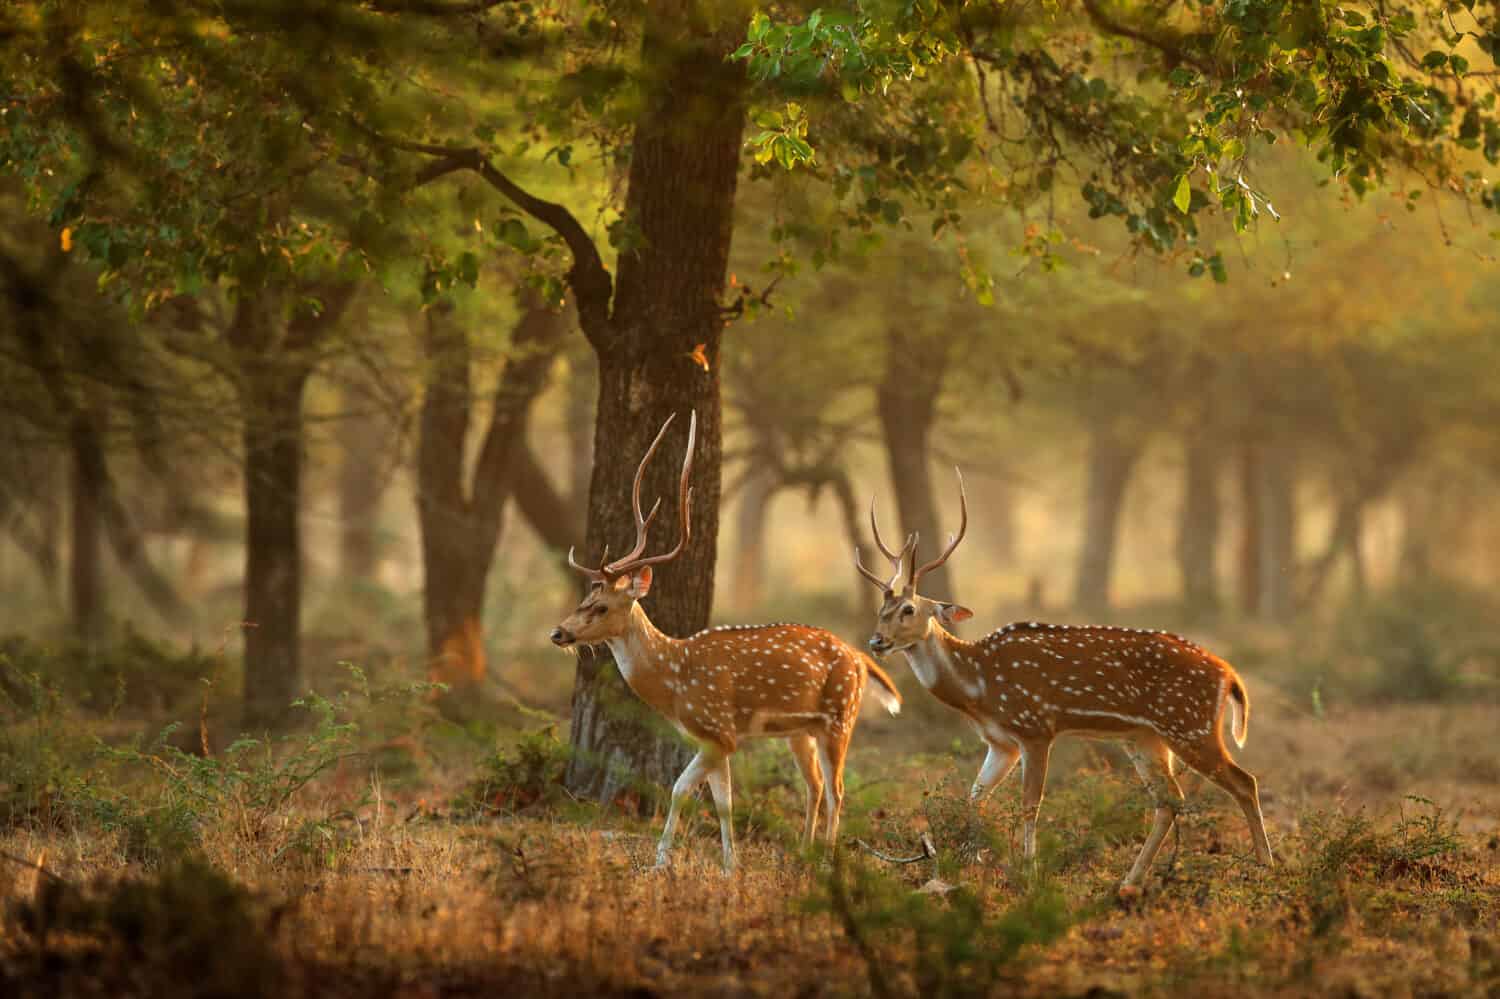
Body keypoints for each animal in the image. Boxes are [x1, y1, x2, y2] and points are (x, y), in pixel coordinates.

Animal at [550, 411, 902, 873]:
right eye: (585, 598)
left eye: (603, 606)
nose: (558, 632)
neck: (674, 681)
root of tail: (860, 656)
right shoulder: (712, 739)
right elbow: (723, 803)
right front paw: (729, 866)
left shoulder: (719, 730)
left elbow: (680, 789)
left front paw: (661, 862)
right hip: (801, 729)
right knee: (815, 786)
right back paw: (805, 852)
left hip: (840, 717)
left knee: (837, 788)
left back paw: (826, 859)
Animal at [855, 469, 1274, 894]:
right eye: (882, 608)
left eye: (909, 609)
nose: (876, 641)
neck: (979, 687)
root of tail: (1230, 675)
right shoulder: (1001, 742)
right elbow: (975, 796)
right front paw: (969, 865)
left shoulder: (1036, 727)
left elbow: (1030, 804)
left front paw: (1028, 872)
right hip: (1145, 737)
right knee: (1169, 799)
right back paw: (1130, 881)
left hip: (1190, 726)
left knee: (1244, 782)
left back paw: (1264, 869)